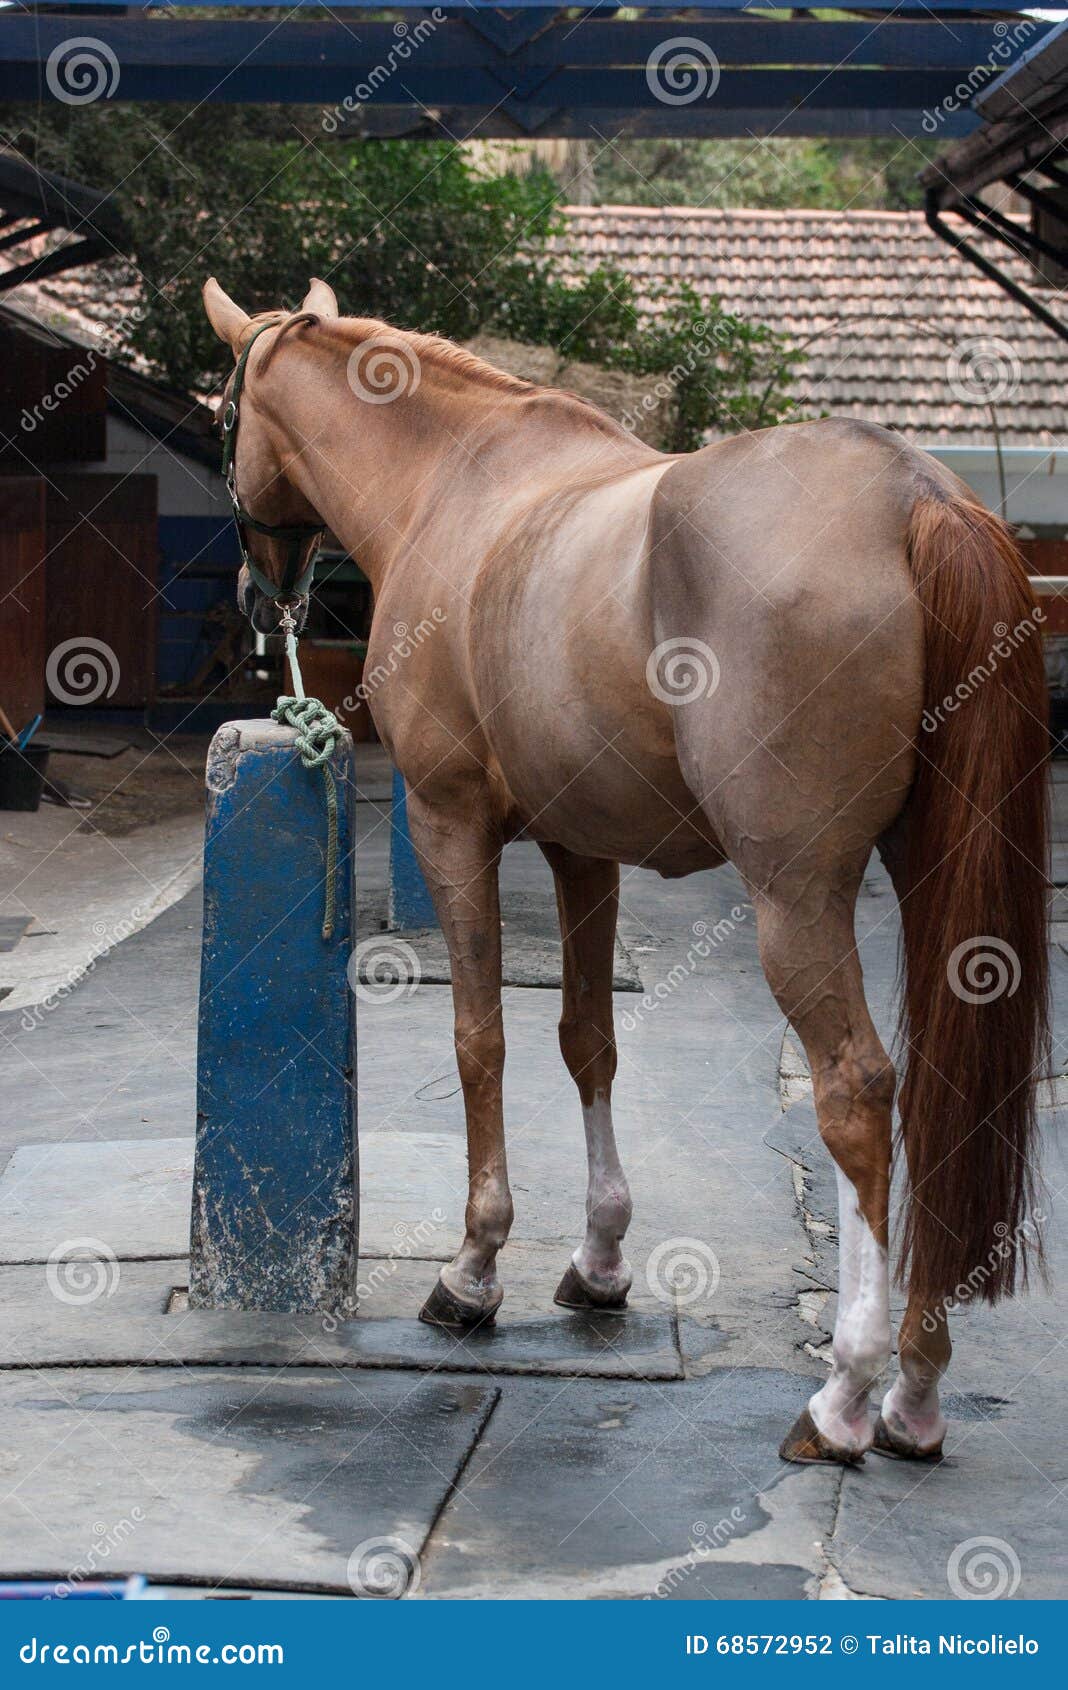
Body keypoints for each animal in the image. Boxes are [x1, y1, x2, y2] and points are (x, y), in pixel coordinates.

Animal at [202, 275, 1049, 1468]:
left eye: (220, 416)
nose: (252, 590)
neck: (452, 485)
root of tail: (912, 495)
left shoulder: (450, 825)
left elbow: (480, 1040)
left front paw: (473, 1271)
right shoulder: (583, 846)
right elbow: (588, 1041)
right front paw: (599, 1260)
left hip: (797, 899)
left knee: (856, 1093)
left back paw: (850, 1389)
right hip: (934, 886)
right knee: (939, 1097)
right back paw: (917, 1389)